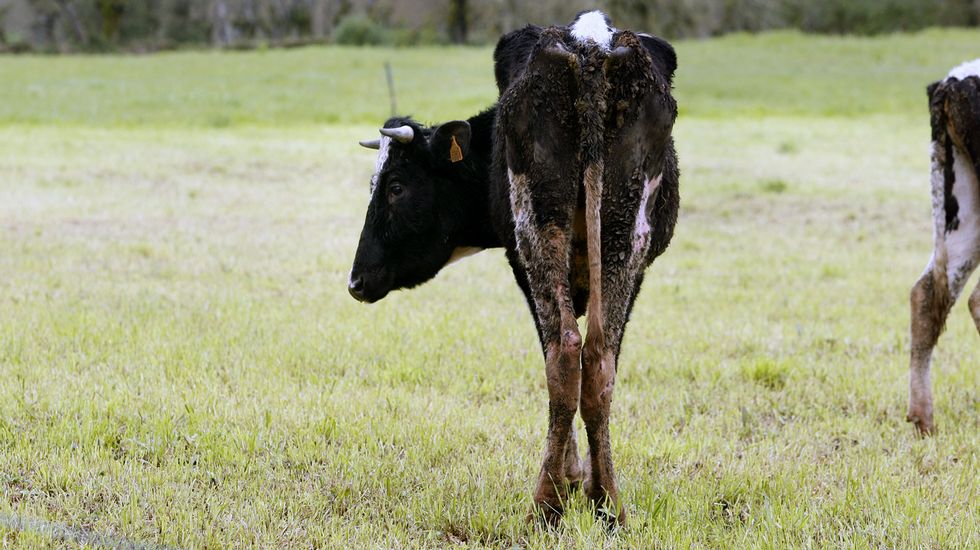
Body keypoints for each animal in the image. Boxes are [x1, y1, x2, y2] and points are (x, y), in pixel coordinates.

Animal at [349, 11, 679, 526]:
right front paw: (579, 477)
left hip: (551, 237)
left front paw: (572, 477)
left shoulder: (525, 265)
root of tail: (589, 46)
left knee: (571, 353)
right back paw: (595, 501)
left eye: (396, 186)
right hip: (611, 237)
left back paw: (561, 502)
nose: (356, 281)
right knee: (589, 355)